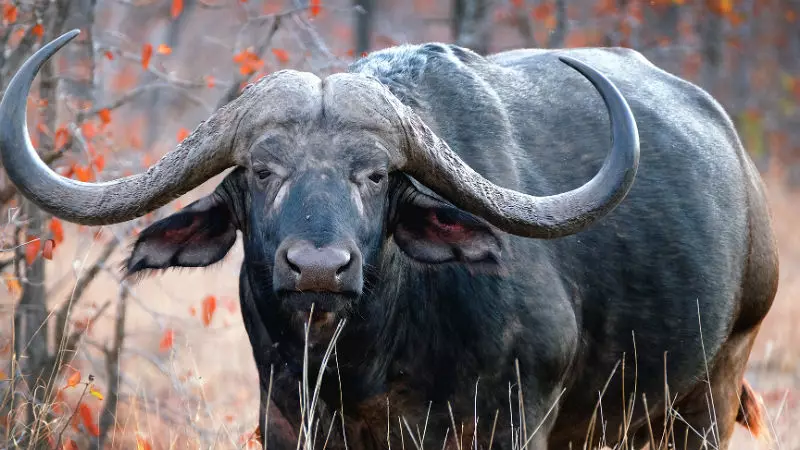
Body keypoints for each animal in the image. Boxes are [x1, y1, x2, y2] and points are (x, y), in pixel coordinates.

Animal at [0, 29, 776, 448]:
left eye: (374, 175)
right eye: (261, 171)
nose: (318, 267)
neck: (366, 361)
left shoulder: (513, 420)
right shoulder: (284, 419)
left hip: (710, 394)